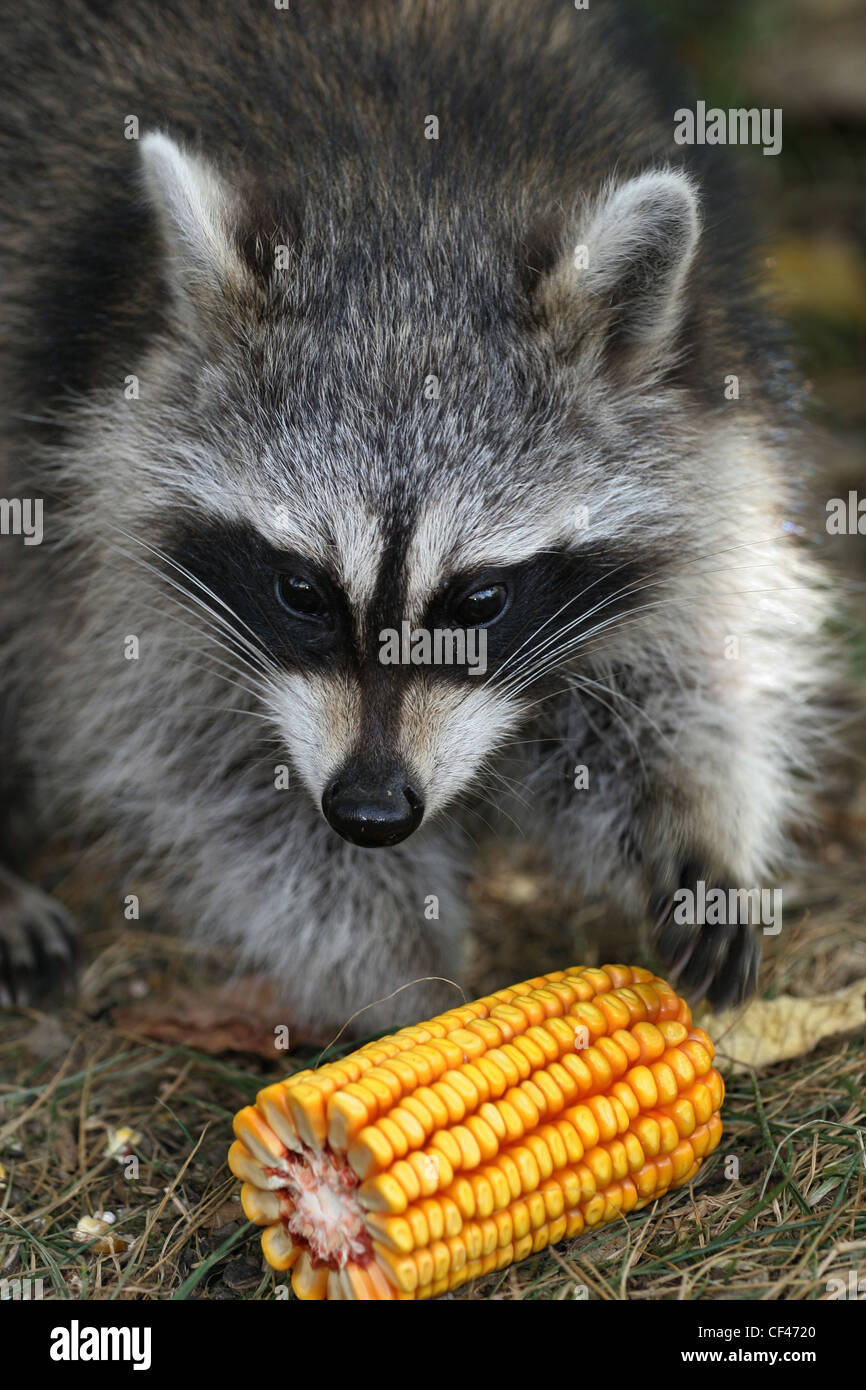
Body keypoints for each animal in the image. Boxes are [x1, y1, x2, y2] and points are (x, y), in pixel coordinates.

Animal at [0, 0, 831, 1031]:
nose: (370, 814)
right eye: (301, 591)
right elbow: (204, 764)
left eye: (479, 601)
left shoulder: (704, 414)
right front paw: (400, 971)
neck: (410, 203)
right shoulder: (90, 522)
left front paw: (700, 826)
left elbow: (678, 663)